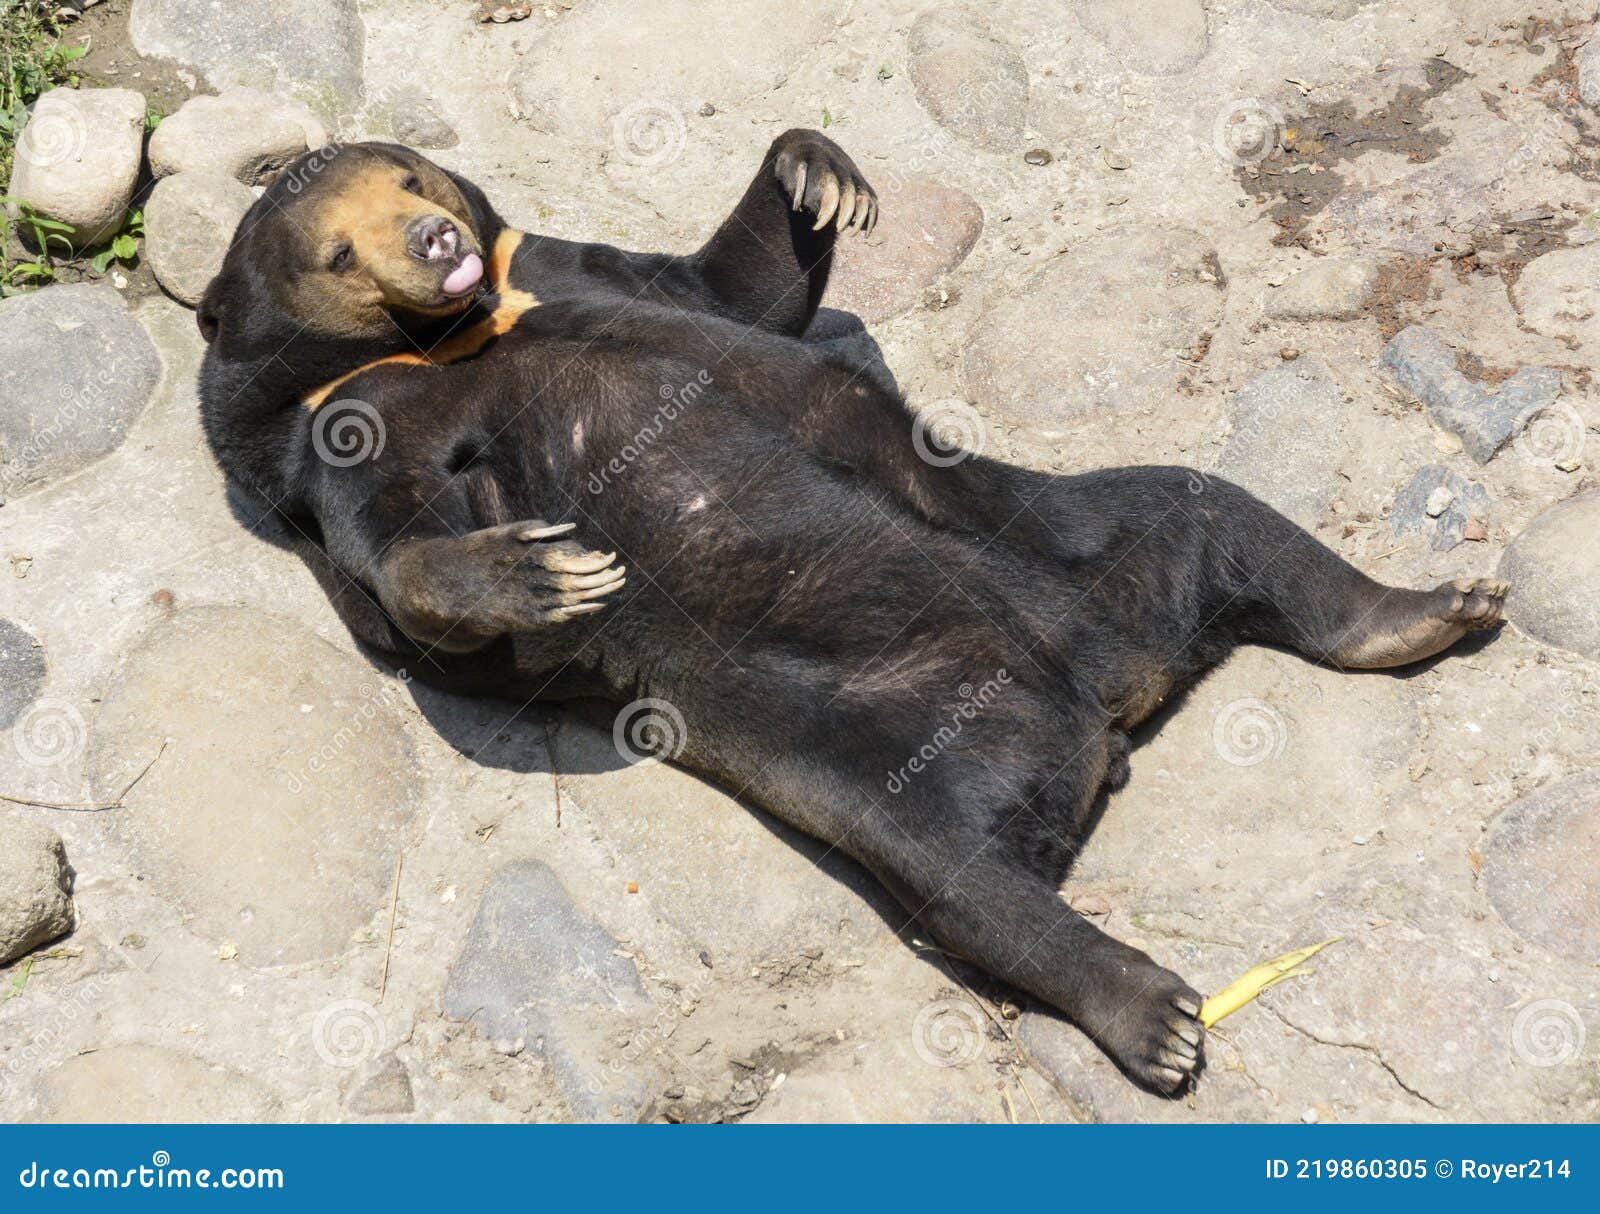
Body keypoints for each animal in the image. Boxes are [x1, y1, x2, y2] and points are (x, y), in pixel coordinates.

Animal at [196, 132, 1508, 1094]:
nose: (441, 242)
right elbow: (395, 549)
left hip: (1076, 536)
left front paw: (816, 172)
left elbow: (725, 283)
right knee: (951, 865)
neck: (457, 332)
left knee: (1215, 509)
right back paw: (1154, 1015)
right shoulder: (341, 421)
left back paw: (1437, 602)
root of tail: (1104, 693)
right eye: (337, 250)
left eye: (415, 183)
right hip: (866, 716)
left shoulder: (558, 269)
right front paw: (545, 571)